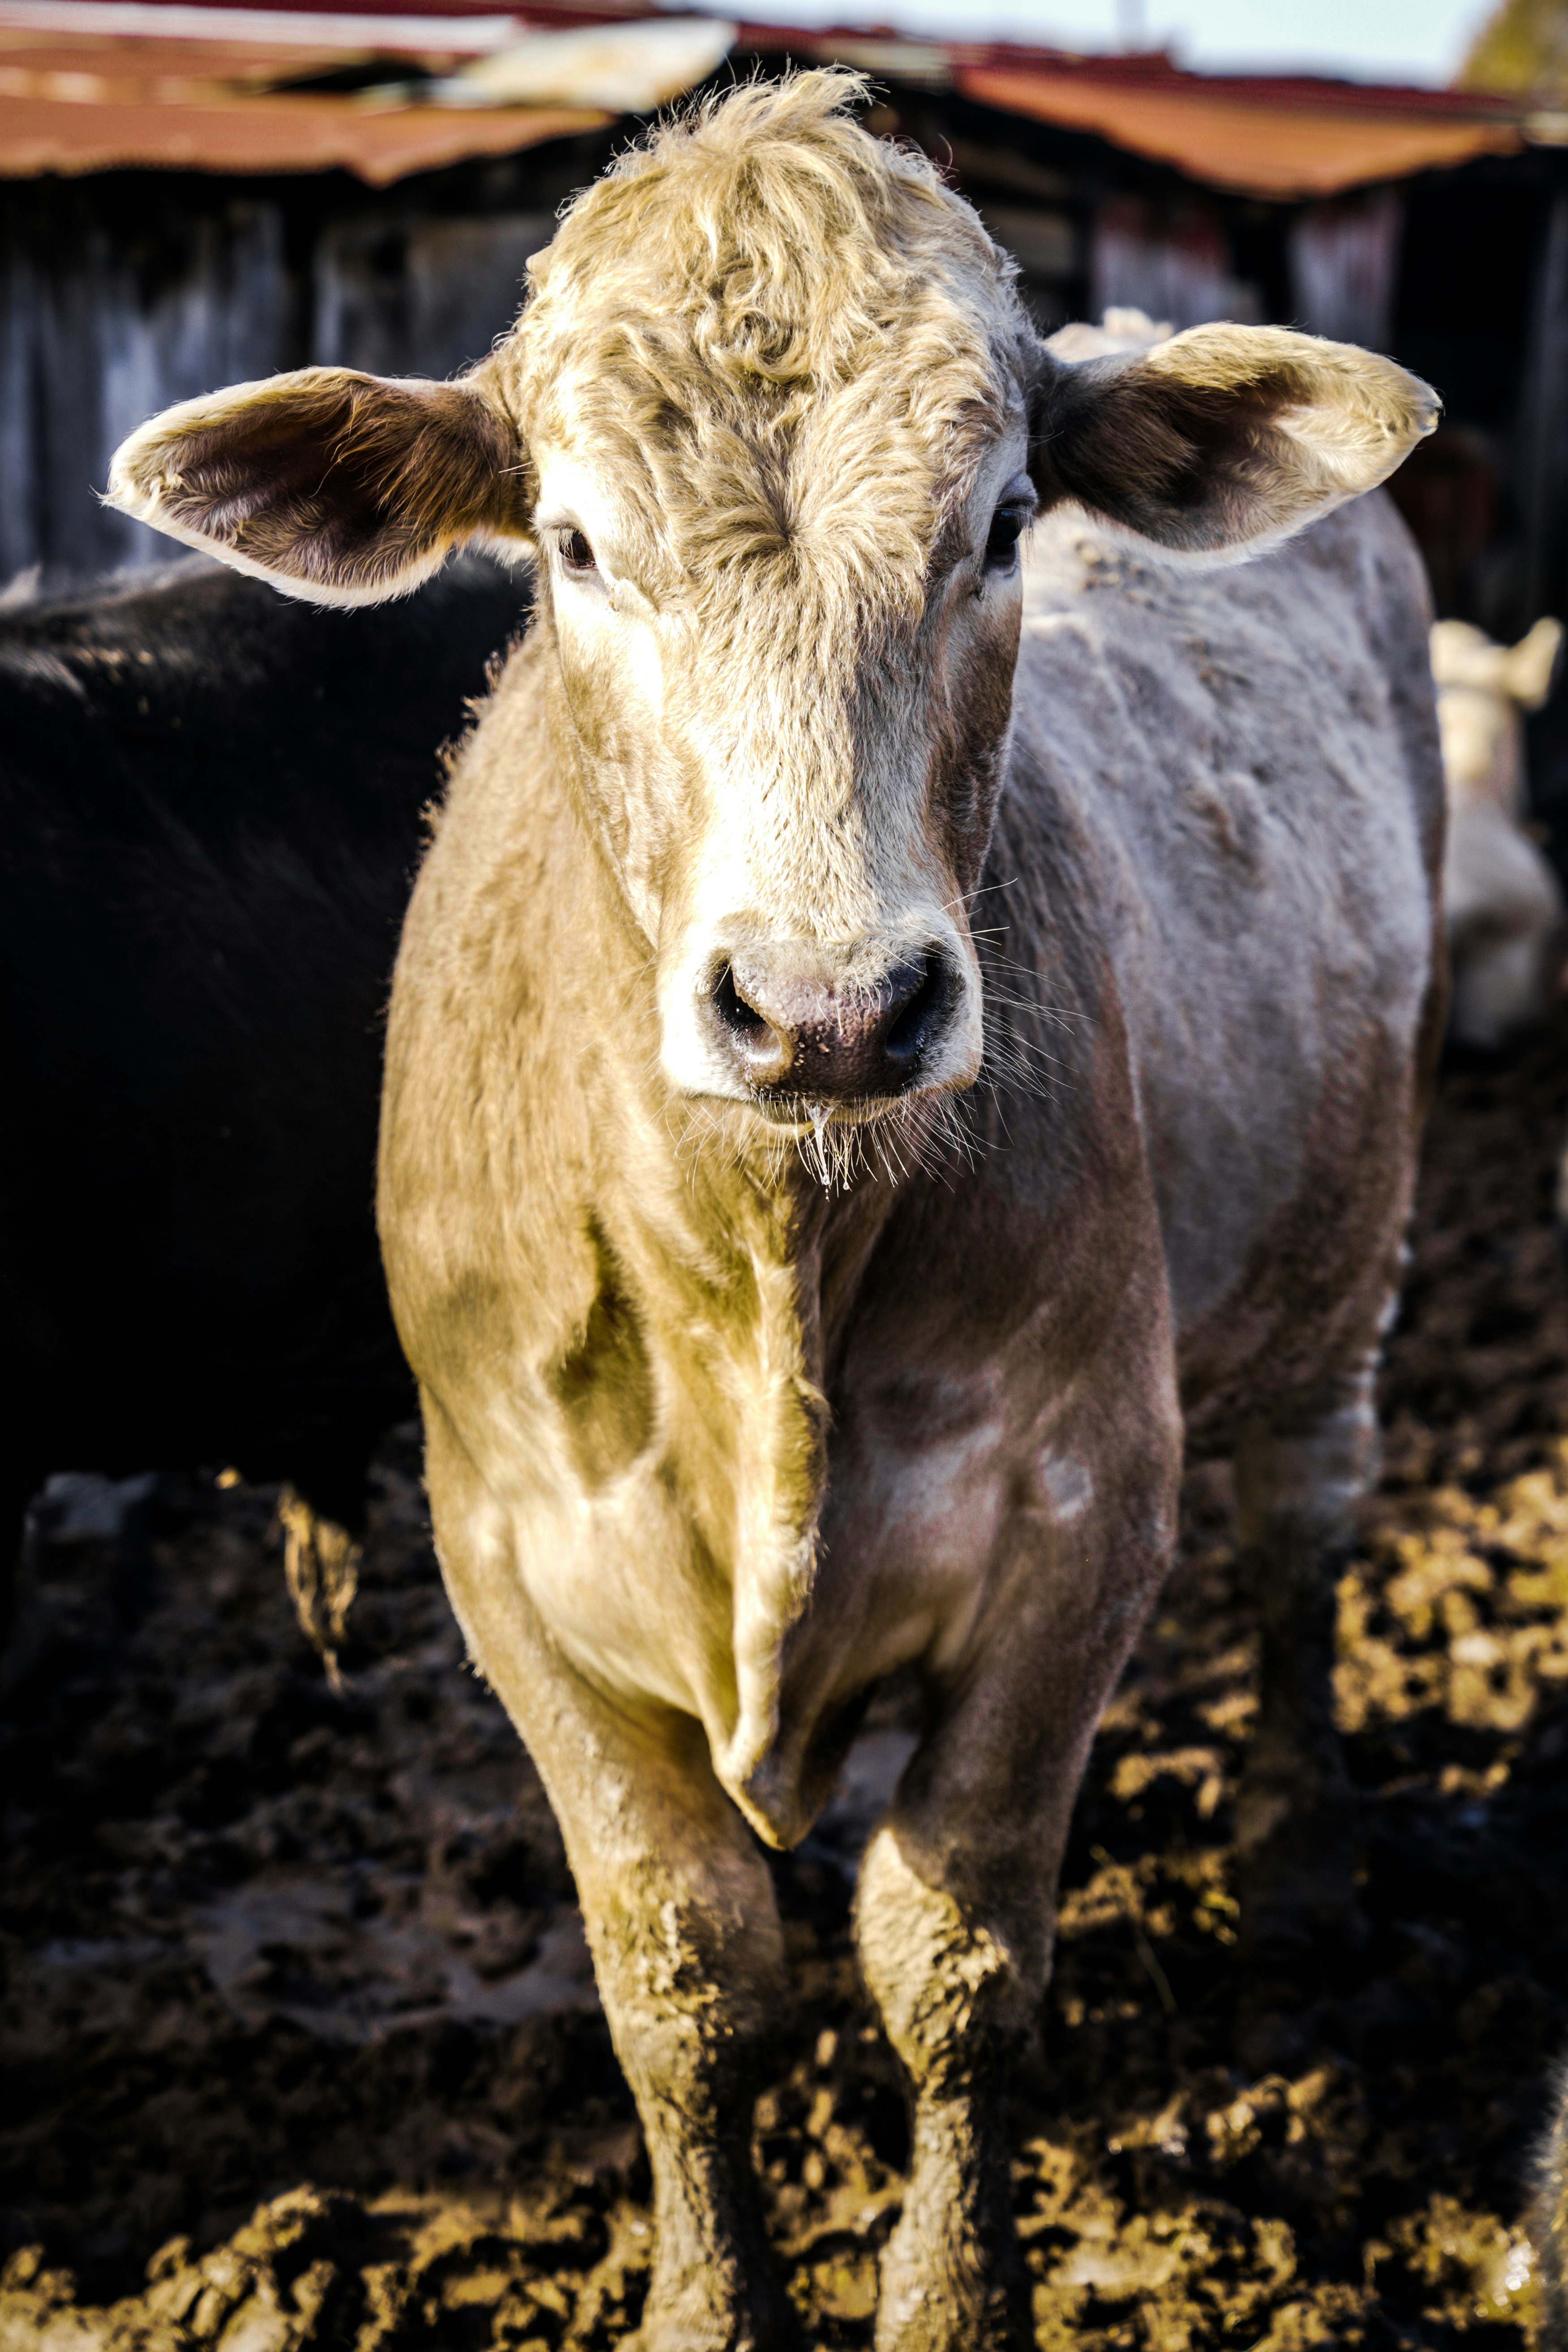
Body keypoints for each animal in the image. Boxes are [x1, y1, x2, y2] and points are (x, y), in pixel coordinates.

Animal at [107, 74, 1444, 2352]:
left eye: (1002, 524)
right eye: (568, 543)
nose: (827, 1006)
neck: (760, 1267)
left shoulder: (1080, 1505)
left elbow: (954, 1956)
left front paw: (950, 2298)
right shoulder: (504, 1548)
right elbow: (682, 1970)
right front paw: (709, 2297)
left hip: (1345, 1265)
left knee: (1298, 1542)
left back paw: (1293, 1871)